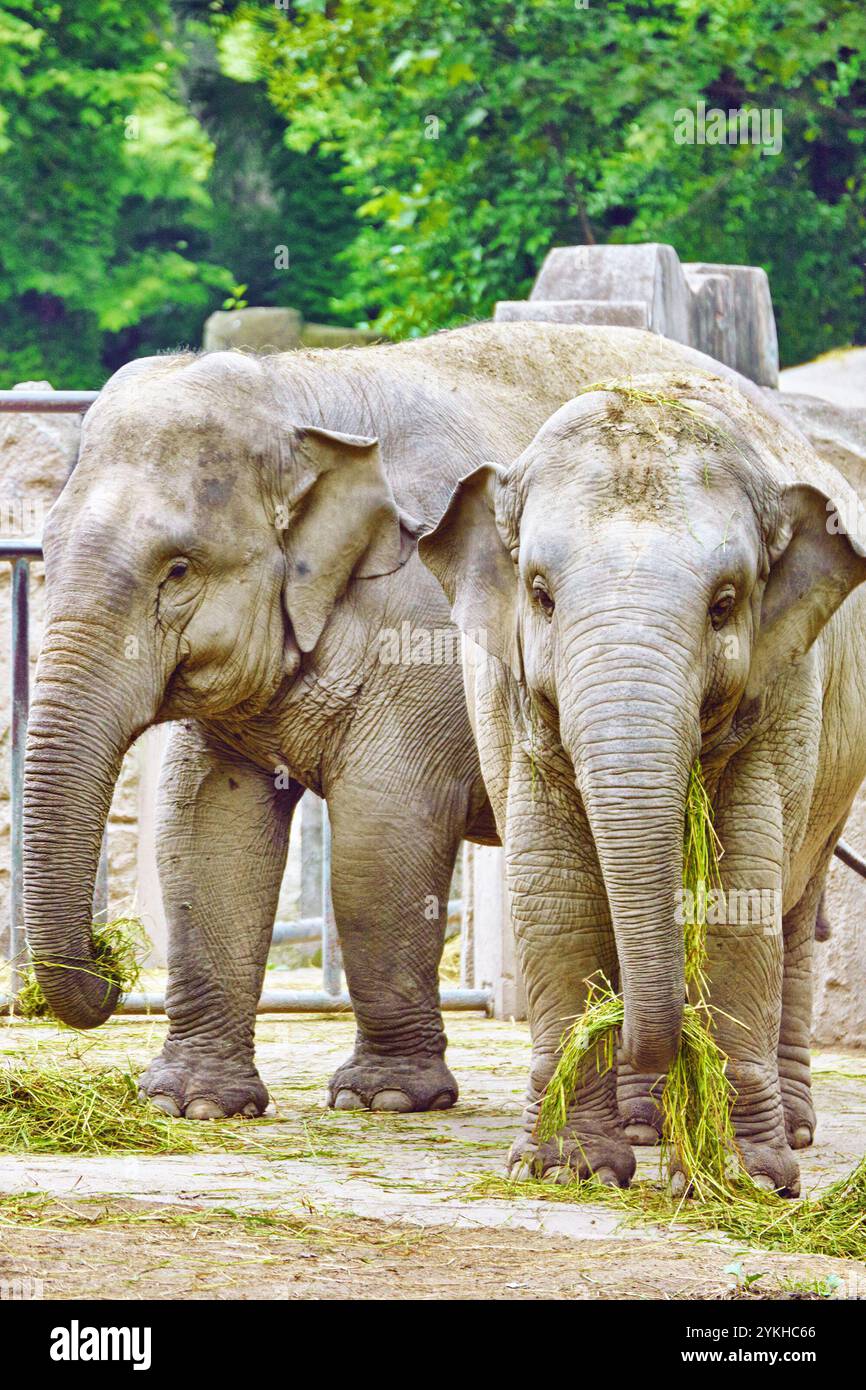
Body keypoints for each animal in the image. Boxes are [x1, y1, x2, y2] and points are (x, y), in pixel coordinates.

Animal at [419, 369, 866, 1194]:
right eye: (540, 594)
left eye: (725, 605)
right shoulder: (505, 692)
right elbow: (556, 889)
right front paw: (567, 1169)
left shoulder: (787, 678)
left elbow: (740, 887)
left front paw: (746, 1179)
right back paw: (645, 1124)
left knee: (795, 906)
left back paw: (783, 1130)